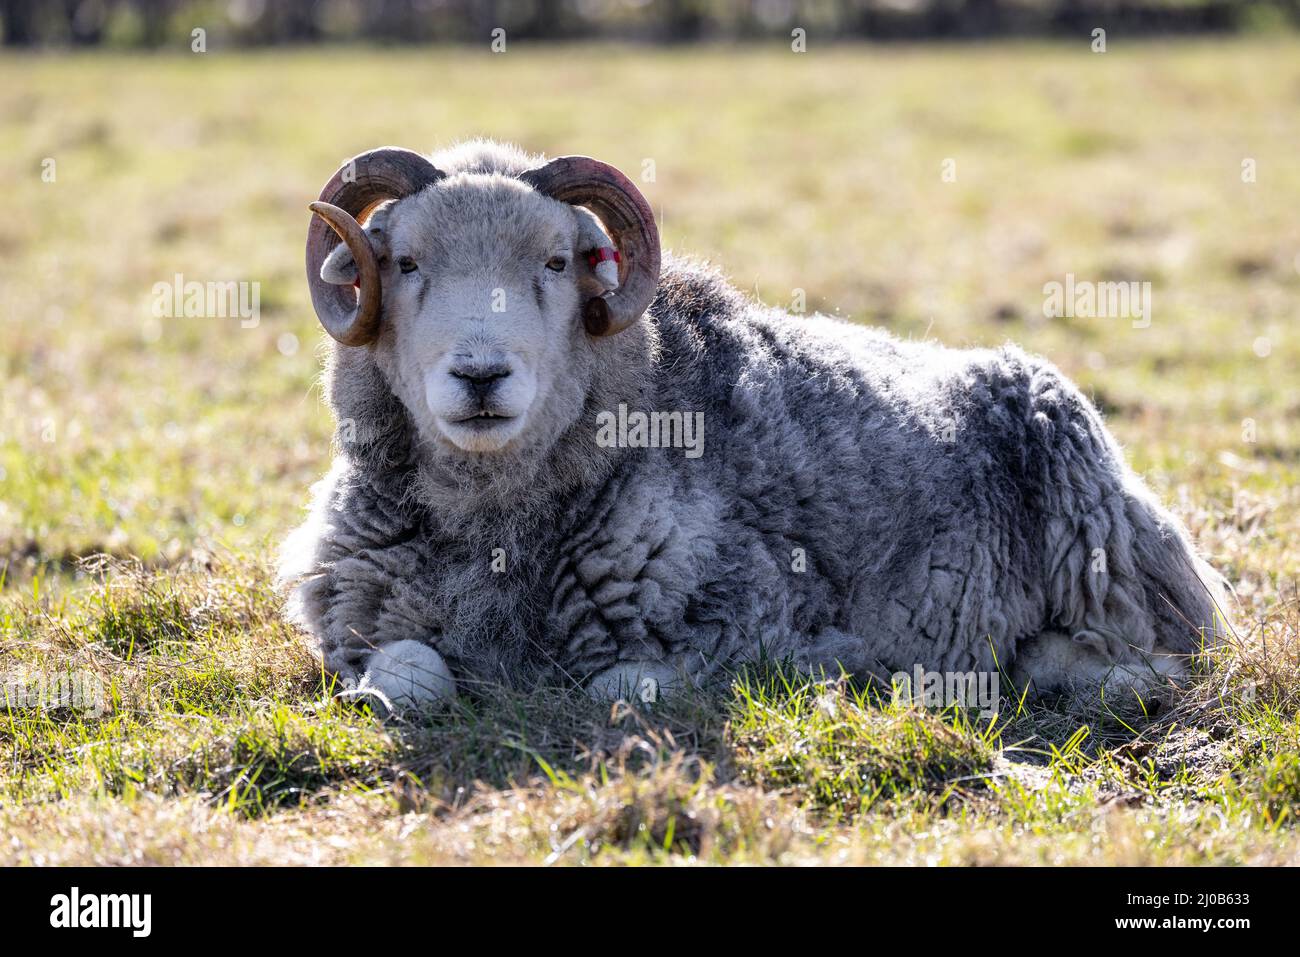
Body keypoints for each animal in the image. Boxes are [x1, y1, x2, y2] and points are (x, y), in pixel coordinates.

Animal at [279, 139, 1227, 712]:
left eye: (555, 262)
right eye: (406, 262)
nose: (480, 375)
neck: (498, 525)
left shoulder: (735, 628)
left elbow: (618, 688)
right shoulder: (353, 615)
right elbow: (410, 676)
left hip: (1104, 549)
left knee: (1158, 659)